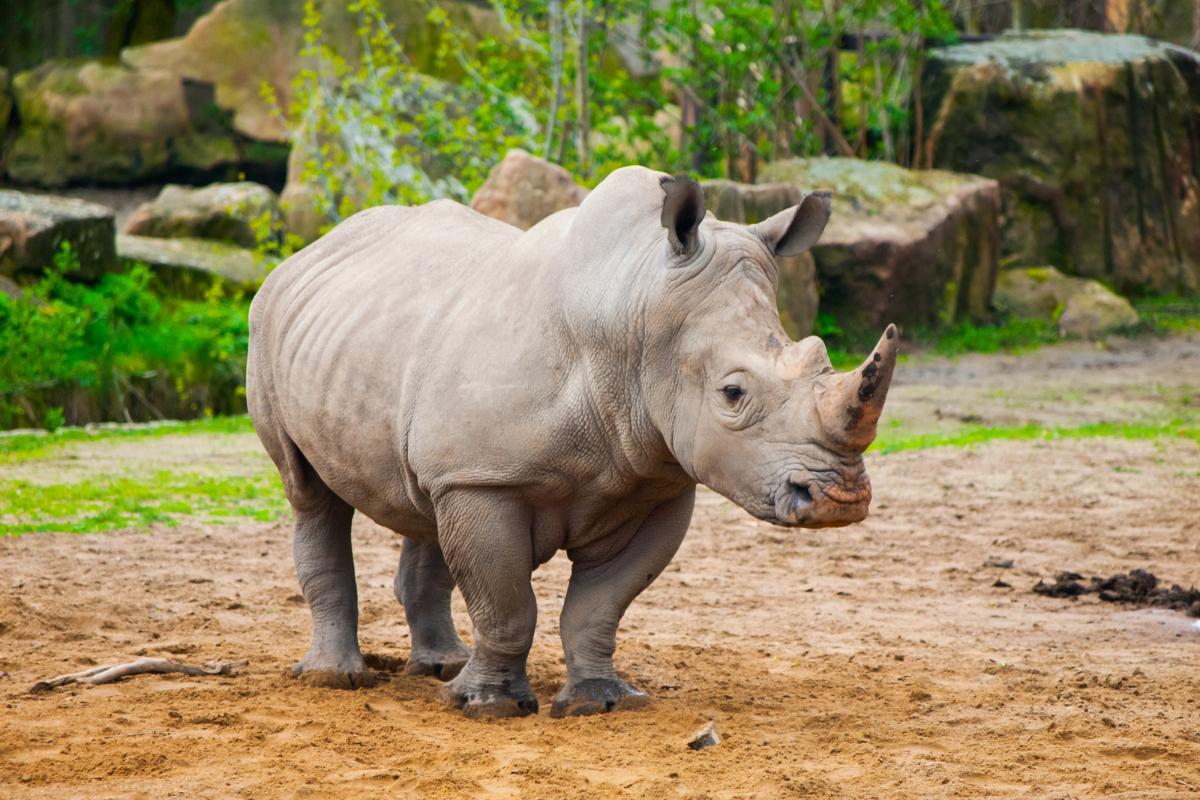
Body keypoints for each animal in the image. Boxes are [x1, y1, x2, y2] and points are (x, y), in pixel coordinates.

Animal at [247, 167, 898, 718]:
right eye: (733, 393)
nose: (840, 499)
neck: (634, 315)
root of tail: (314, 248)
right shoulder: (486, 480)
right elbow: (507, 604)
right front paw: (490, 708)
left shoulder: (653, 480)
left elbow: (598, 606)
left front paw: (600, 702)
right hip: (269, 321)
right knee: (309, 495)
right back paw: (335, 679)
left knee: (423, 502)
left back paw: (441, 669)